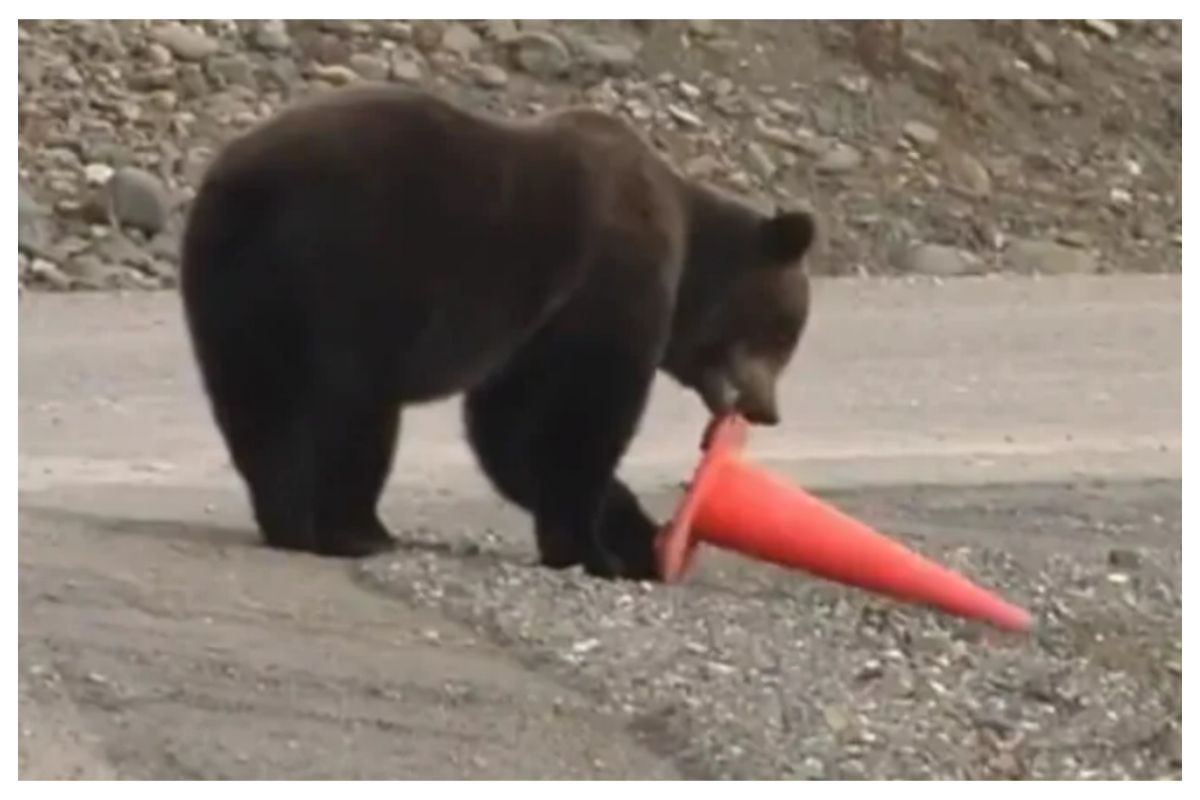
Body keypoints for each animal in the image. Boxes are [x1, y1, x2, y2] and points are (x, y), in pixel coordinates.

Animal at [179, 85, 815, 580]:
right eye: (787, 333)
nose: (768, 411)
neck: (688, 262)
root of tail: (246, 181)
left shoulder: (534, 332)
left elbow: (509, 430)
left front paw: (633, 535)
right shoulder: (608, 287)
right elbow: (584, 416)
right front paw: (596, 549)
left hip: (235, 285)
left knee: (257, 402)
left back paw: (288, 518)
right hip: (355, 268)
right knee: (354, 404)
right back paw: (354, 529)